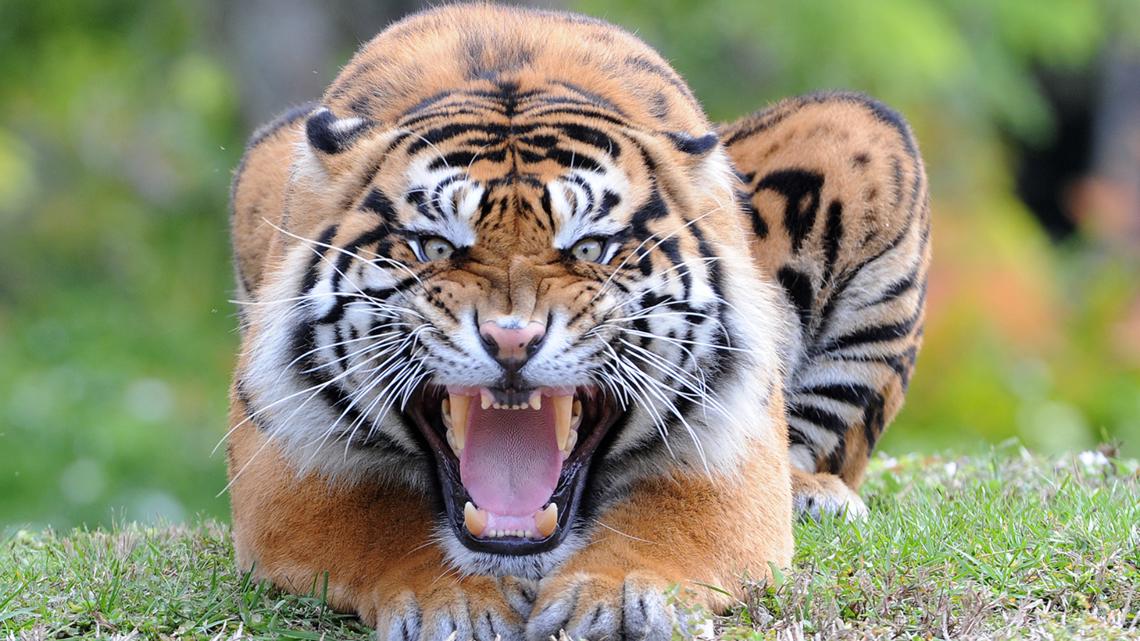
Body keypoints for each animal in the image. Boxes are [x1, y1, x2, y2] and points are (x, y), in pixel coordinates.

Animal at [226, 4, 929, 640]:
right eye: (434, 247)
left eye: (589, 247)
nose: (511, 340)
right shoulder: (279, 466)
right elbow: (380, 526)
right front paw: (458, 603)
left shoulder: (733, 459)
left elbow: (671, 530)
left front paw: (619, 602)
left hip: (861, 126)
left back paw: (813, 494)